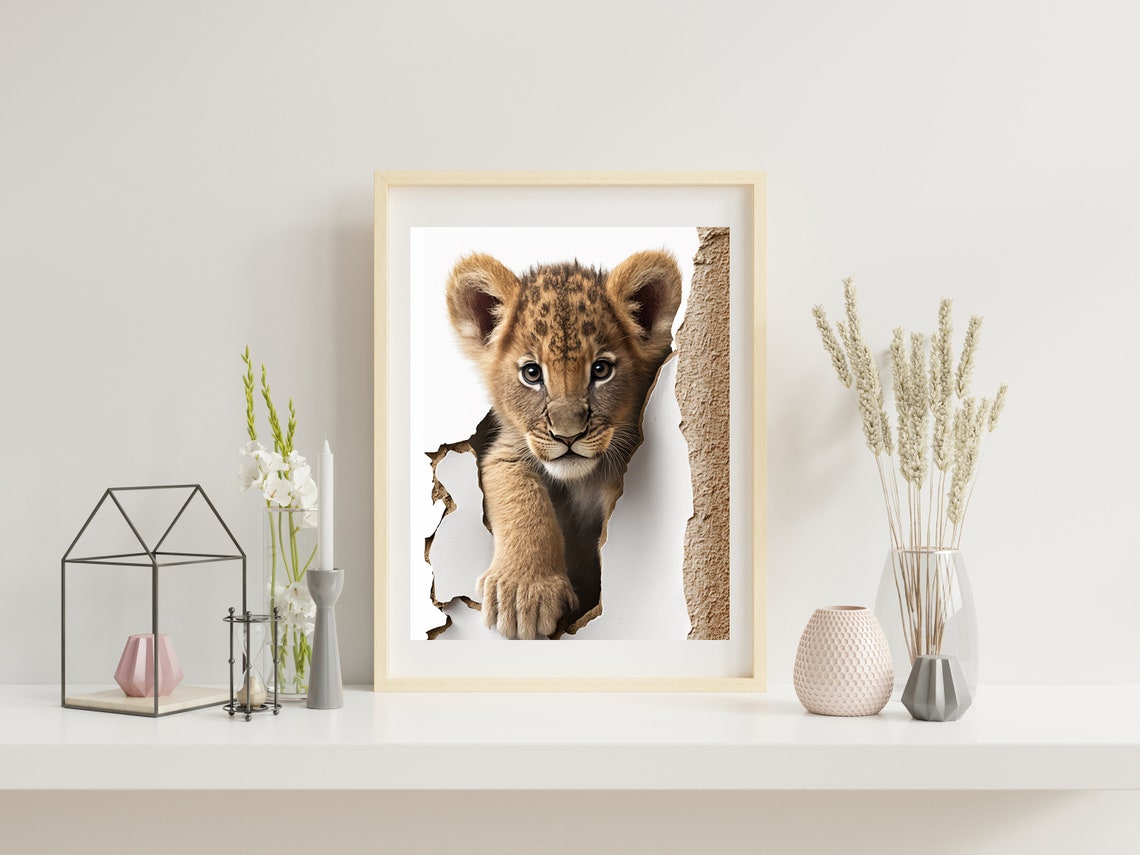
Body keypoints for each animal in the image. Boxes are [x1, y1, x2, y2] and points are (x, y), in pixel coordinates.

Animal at [445, 250, 683, 639]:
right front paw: (522, 593)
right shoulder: (507, 450)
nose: (568, 436)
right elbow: (521, 498)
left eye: (601, 370)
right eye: (532, 373)